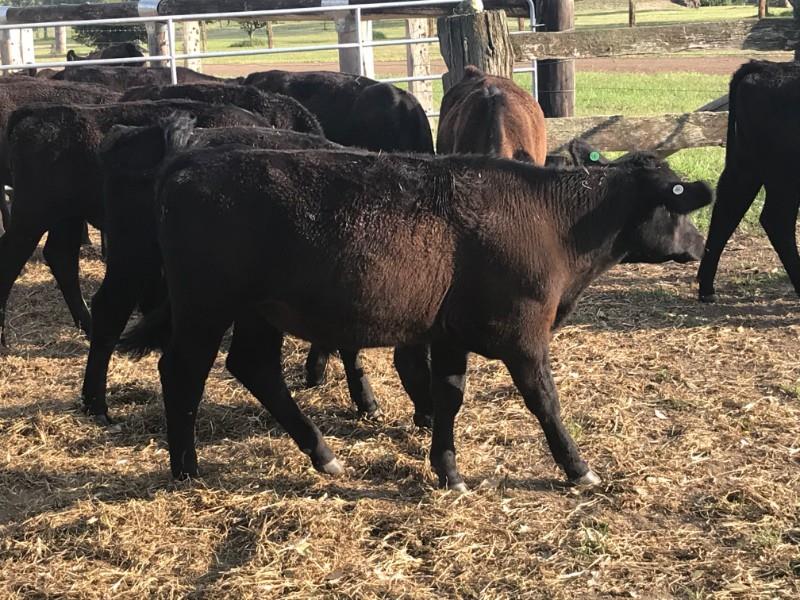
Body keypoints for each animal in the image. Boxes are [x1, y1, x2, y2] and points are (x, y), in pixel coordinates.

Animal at [0, 99, 276, 348]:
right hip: (33, 216)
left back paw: (88, 327)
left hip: (67, 217)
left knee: (61, 257)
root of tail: (36, 114)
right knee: (12, 259)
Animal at [120, 143, 712, 488]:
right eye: (678, 204)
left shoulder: (450, 332)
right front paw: (577, 467)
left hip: (259, 311)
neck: (553, 220)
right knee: (182, 372)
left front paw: (447, 470)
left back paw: (323, 454)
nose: (700, 244)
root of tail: (189, 162)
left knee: (254, 368)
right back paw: (186, 468)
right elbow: (544, 401)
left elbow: (446, 396)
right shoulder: (523, 335)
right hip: (204, 305)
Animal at [697, 60, 800, 302]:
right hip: (784, 173)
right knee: (777, 220)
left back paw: (706, 288)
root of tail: (767, 66)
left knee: (728, 207)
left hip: (746, 163)